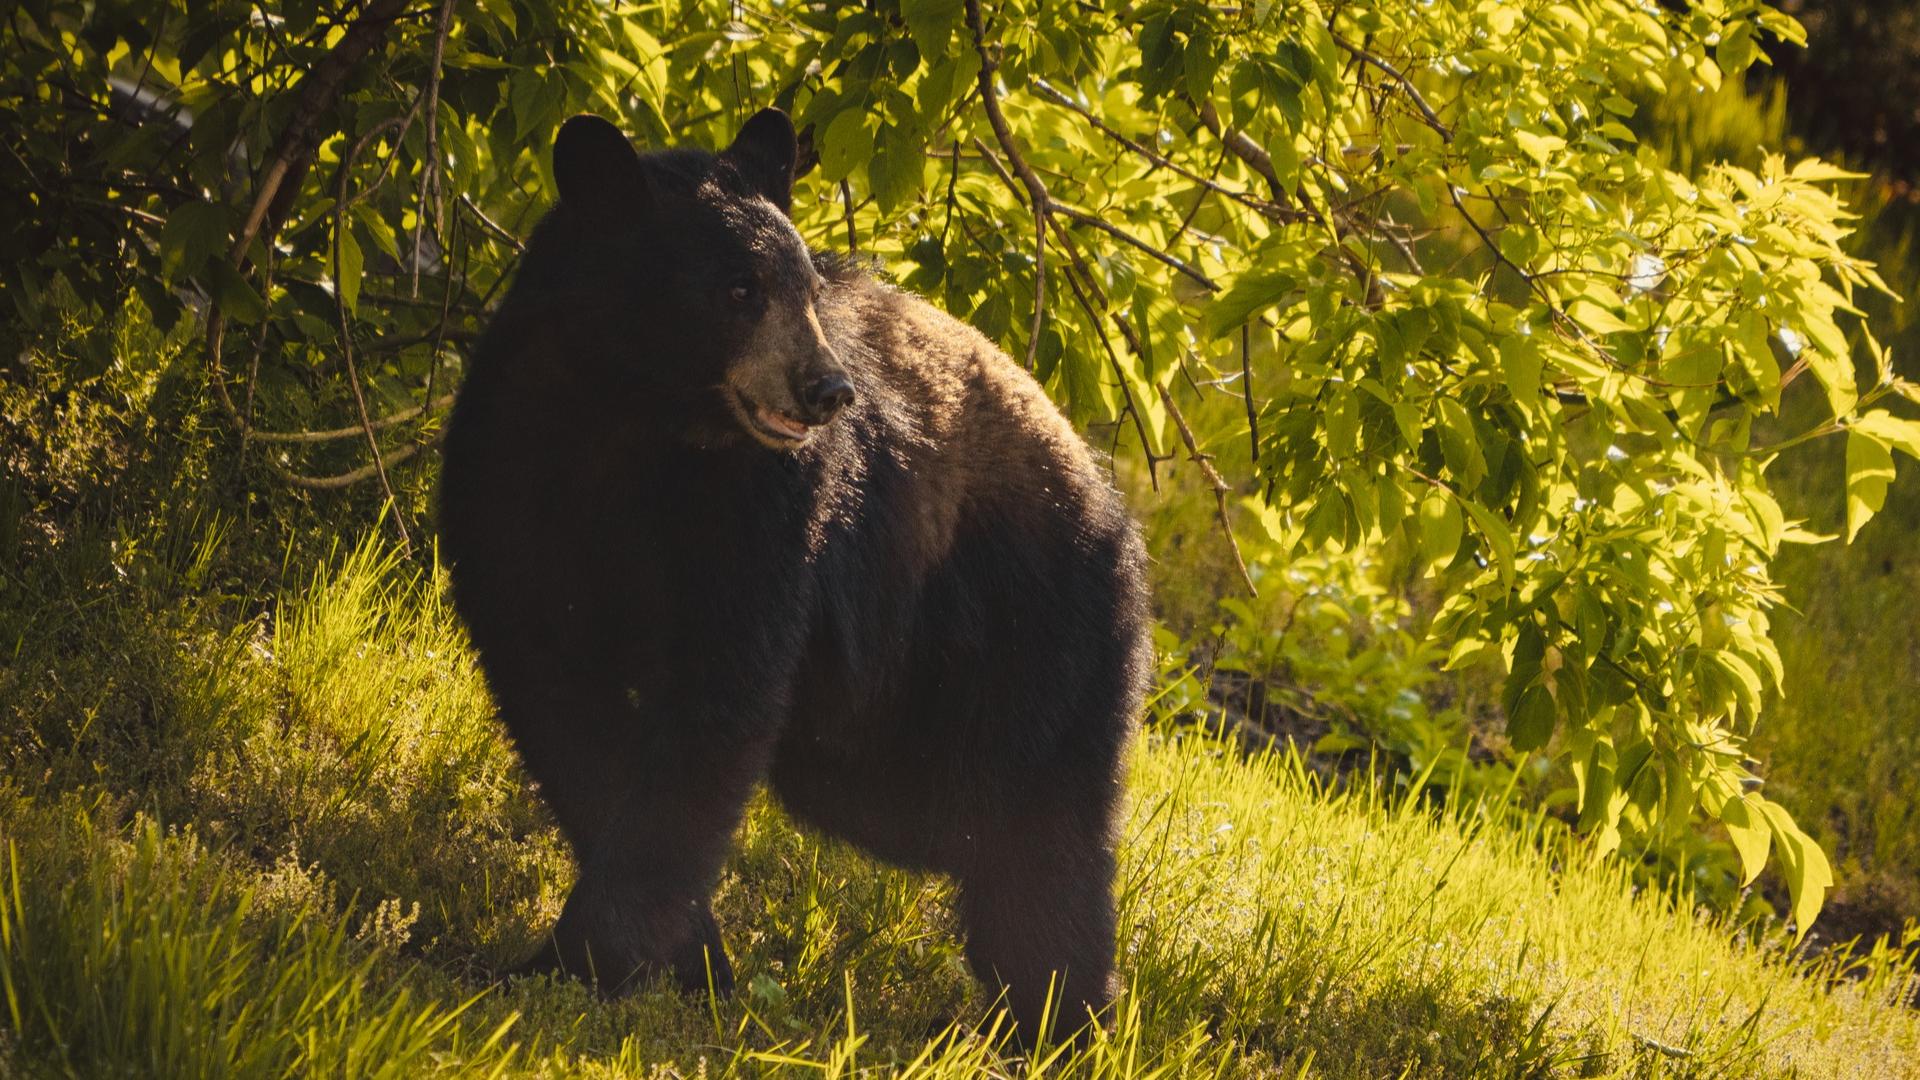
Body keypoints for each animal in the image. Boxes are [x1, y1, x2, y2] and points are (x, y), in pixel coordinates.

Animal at [438, 108, 1151, 1043]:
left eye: (807, 289)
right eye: (739, 290)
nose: (827, 389)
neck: (632, 415)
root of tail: (1109, 502)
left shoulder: (759, 514)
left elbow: (715, 707)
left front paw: (581, 963)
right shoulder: (512, 471)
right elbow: (559, 702)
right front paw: (679, 960)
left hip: (1026, 626)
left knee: (1041, 833)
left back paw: (1060, 1016)